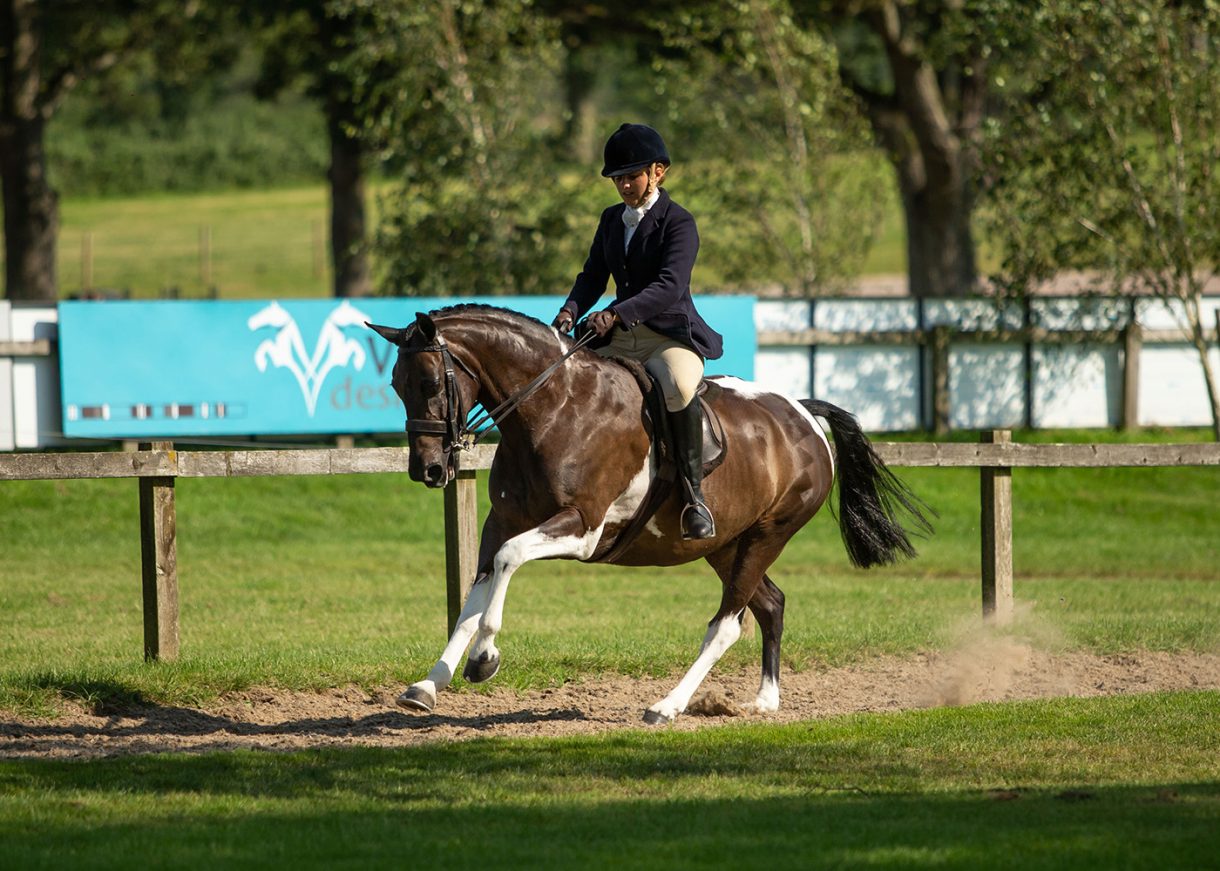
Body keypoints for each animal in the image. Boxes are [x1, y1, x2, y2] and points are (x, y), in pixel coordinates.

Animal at [368, 304, 931, 724]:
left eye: (430, 385)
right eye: (396, 385)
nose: (429, 470)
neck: (553, 406)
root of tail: (803, 414)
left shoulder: (582, 528)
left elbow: (507, 562)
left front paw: (485, 659)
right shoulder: (501, 521)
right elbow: (474, 595)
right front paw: (428, 685)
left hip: (769, 534)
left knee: (728, 624)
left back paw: (667, 706)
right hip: (725, 543)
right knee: (770, 604)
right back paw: (765, 701)